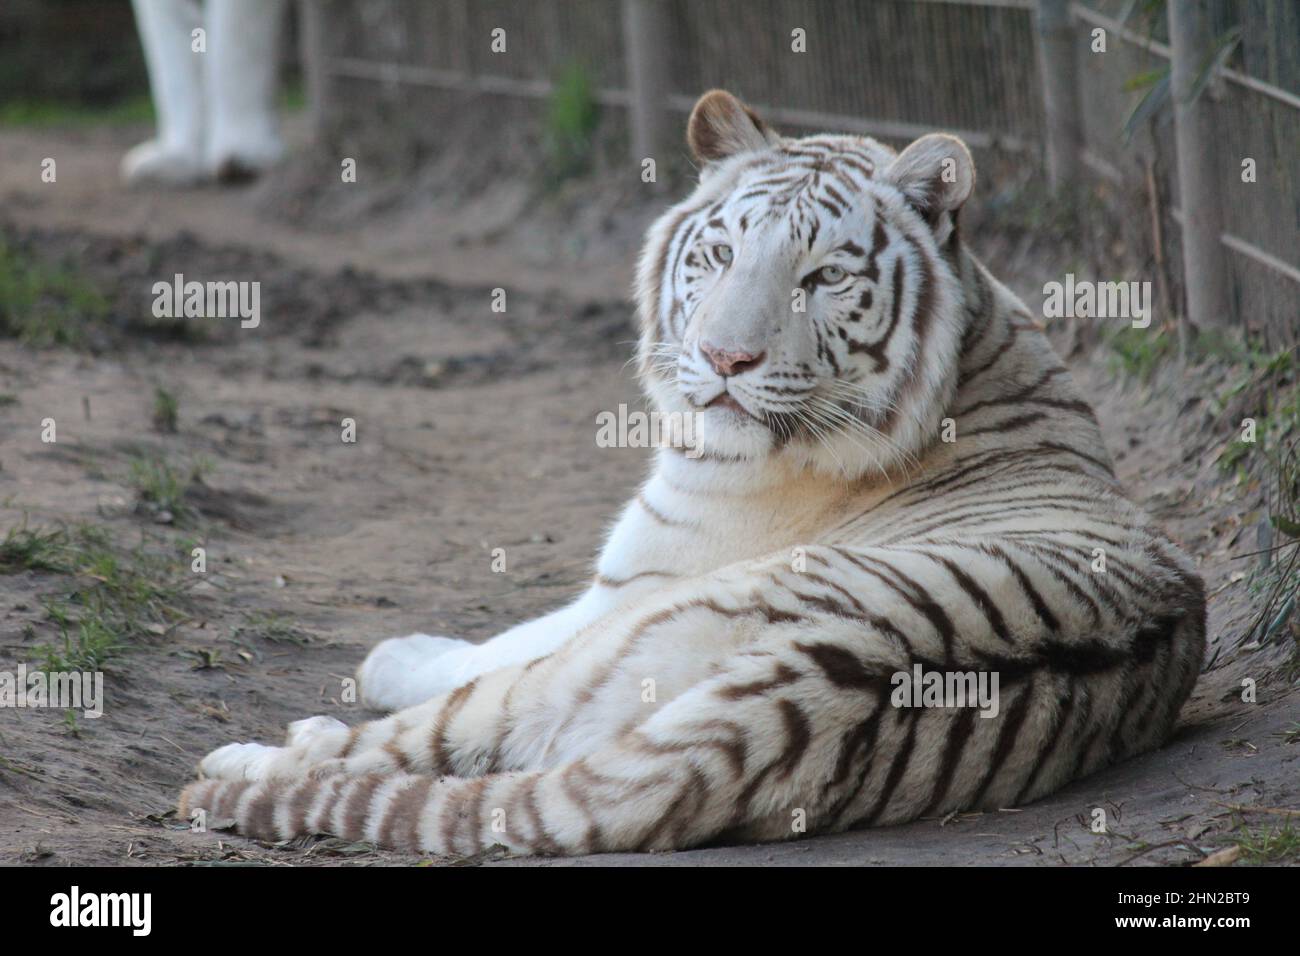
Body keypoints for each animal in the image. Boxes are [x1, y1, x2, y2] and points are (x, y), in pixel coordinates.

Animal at [180, 90, 1206, 857]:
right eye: (718, 253)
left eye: (825, 277)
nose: (723, 358)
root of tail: (802, 692)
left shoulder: (624, 591)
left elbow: (486, 644)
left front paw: (391, 655)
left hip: (600, 657)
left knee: (419, 740)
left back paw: (252, 759)